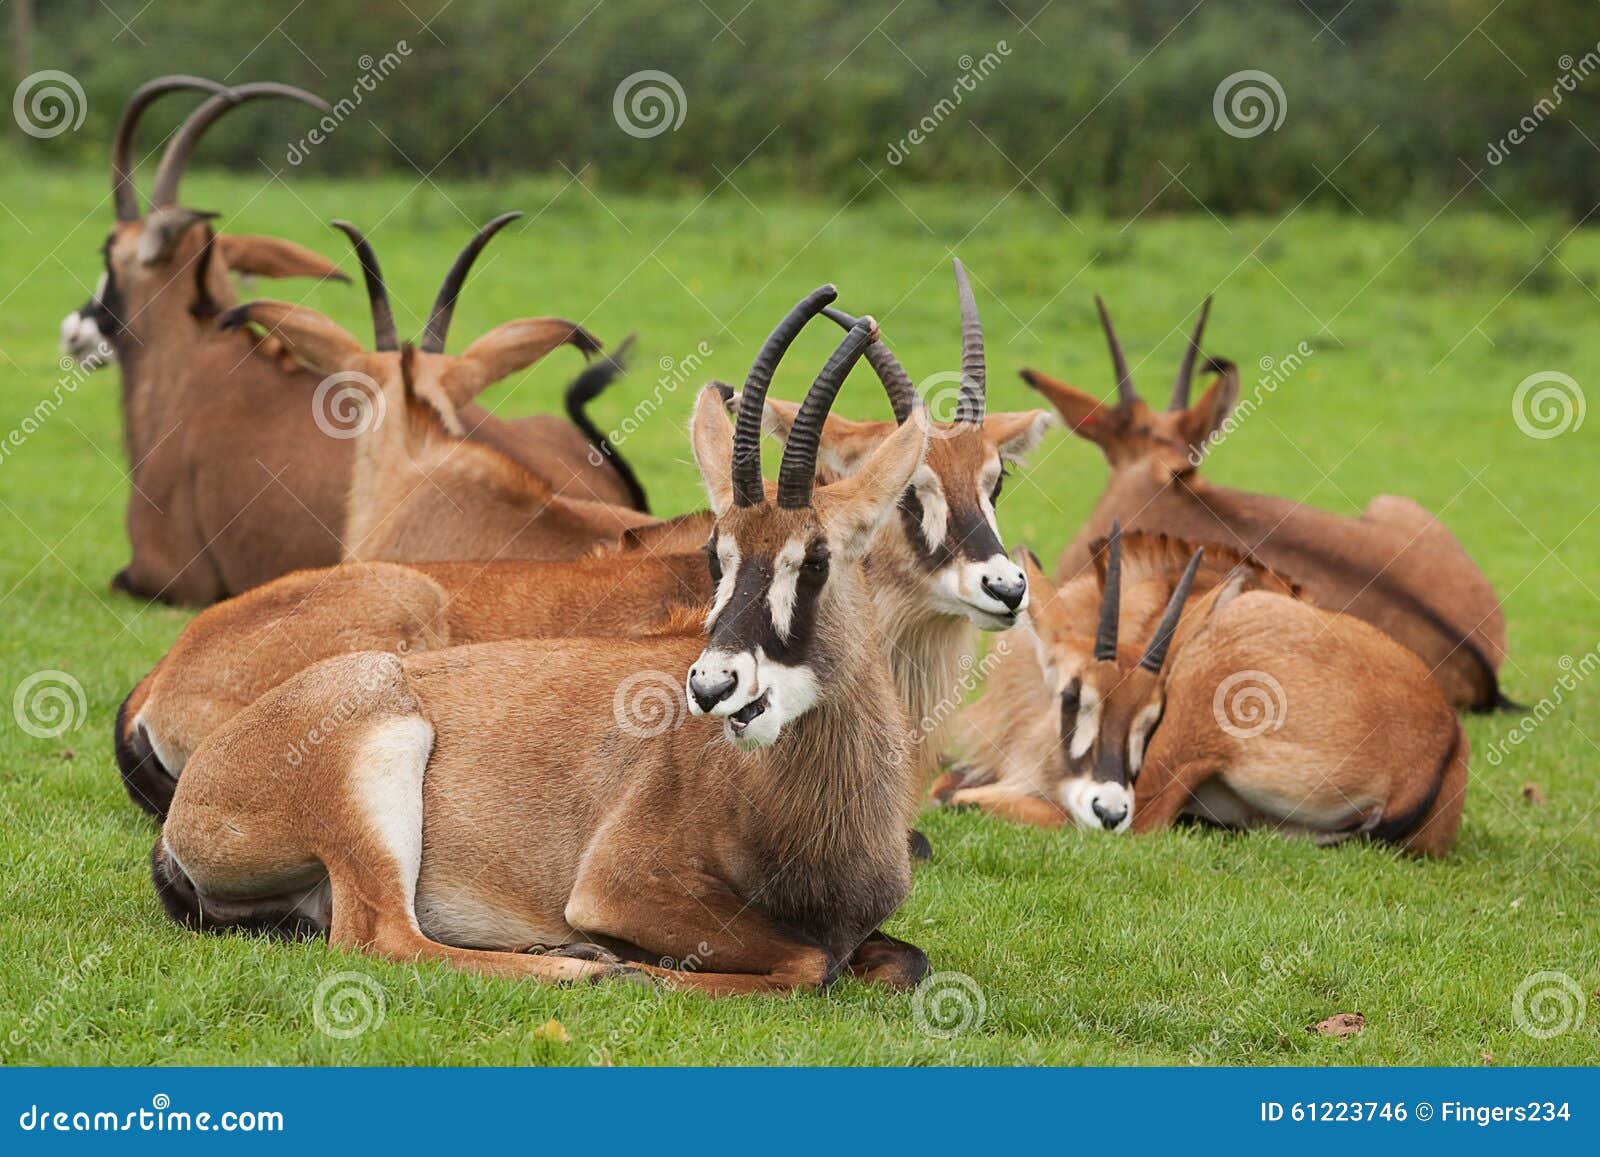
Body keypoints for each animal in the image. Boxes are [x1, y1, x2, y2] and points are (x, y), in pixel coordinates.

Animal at [156, 316, 936, 994]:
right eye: (719, 554)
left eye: (817, 561)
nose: (713, 688)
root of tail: (194, 788)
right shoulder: (617, 888)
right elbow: (807, 960)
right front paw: (634, 967)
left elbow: (904, 959)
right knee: (384, 938)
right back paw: (578, 963)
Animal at [944, 523, 1467, 856]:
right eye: (1074, 695)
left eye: (1152, 716)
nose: (1109, 811)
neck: (1147, 609)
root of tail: (1439, 742)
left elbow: (949, 789)